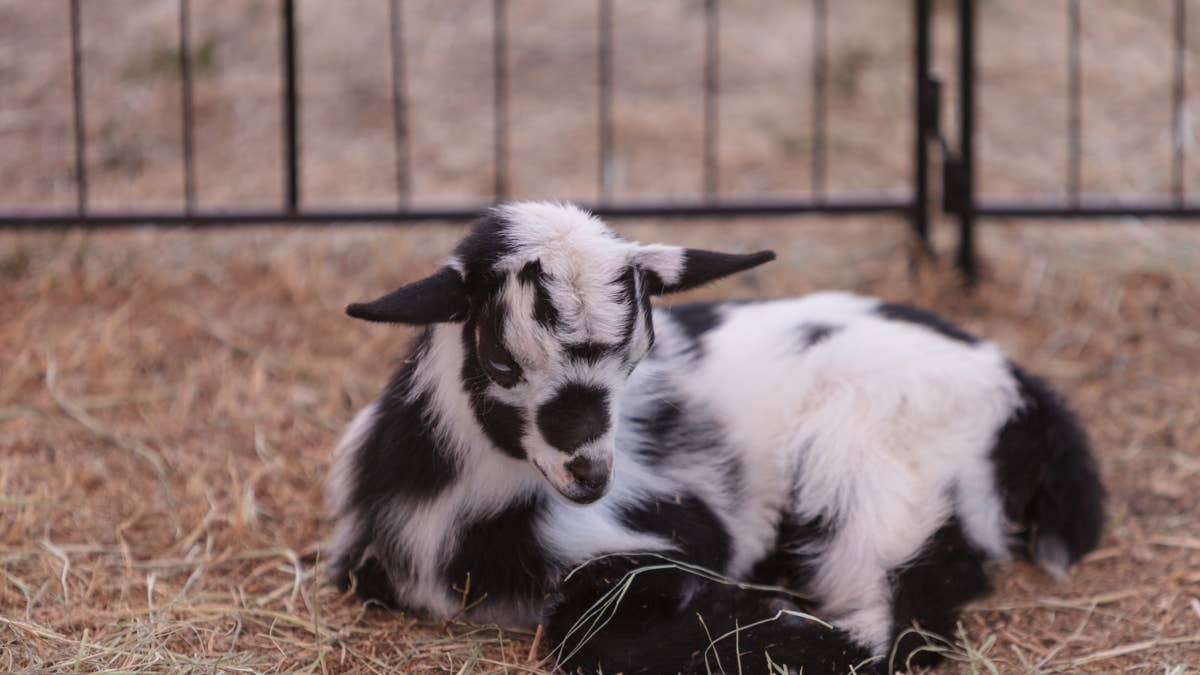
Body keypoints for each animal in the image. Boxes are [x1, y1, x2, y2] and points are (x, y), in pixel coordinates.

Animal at [326, 201, 1104, 674]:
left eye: (637, 358)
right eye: (500, 362)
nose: (590, 474)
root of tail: (1023, 390)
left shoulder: (672, 536)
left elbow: (586, 634)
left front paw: (732, 611)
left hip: (876, 462)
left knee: (898, 620)